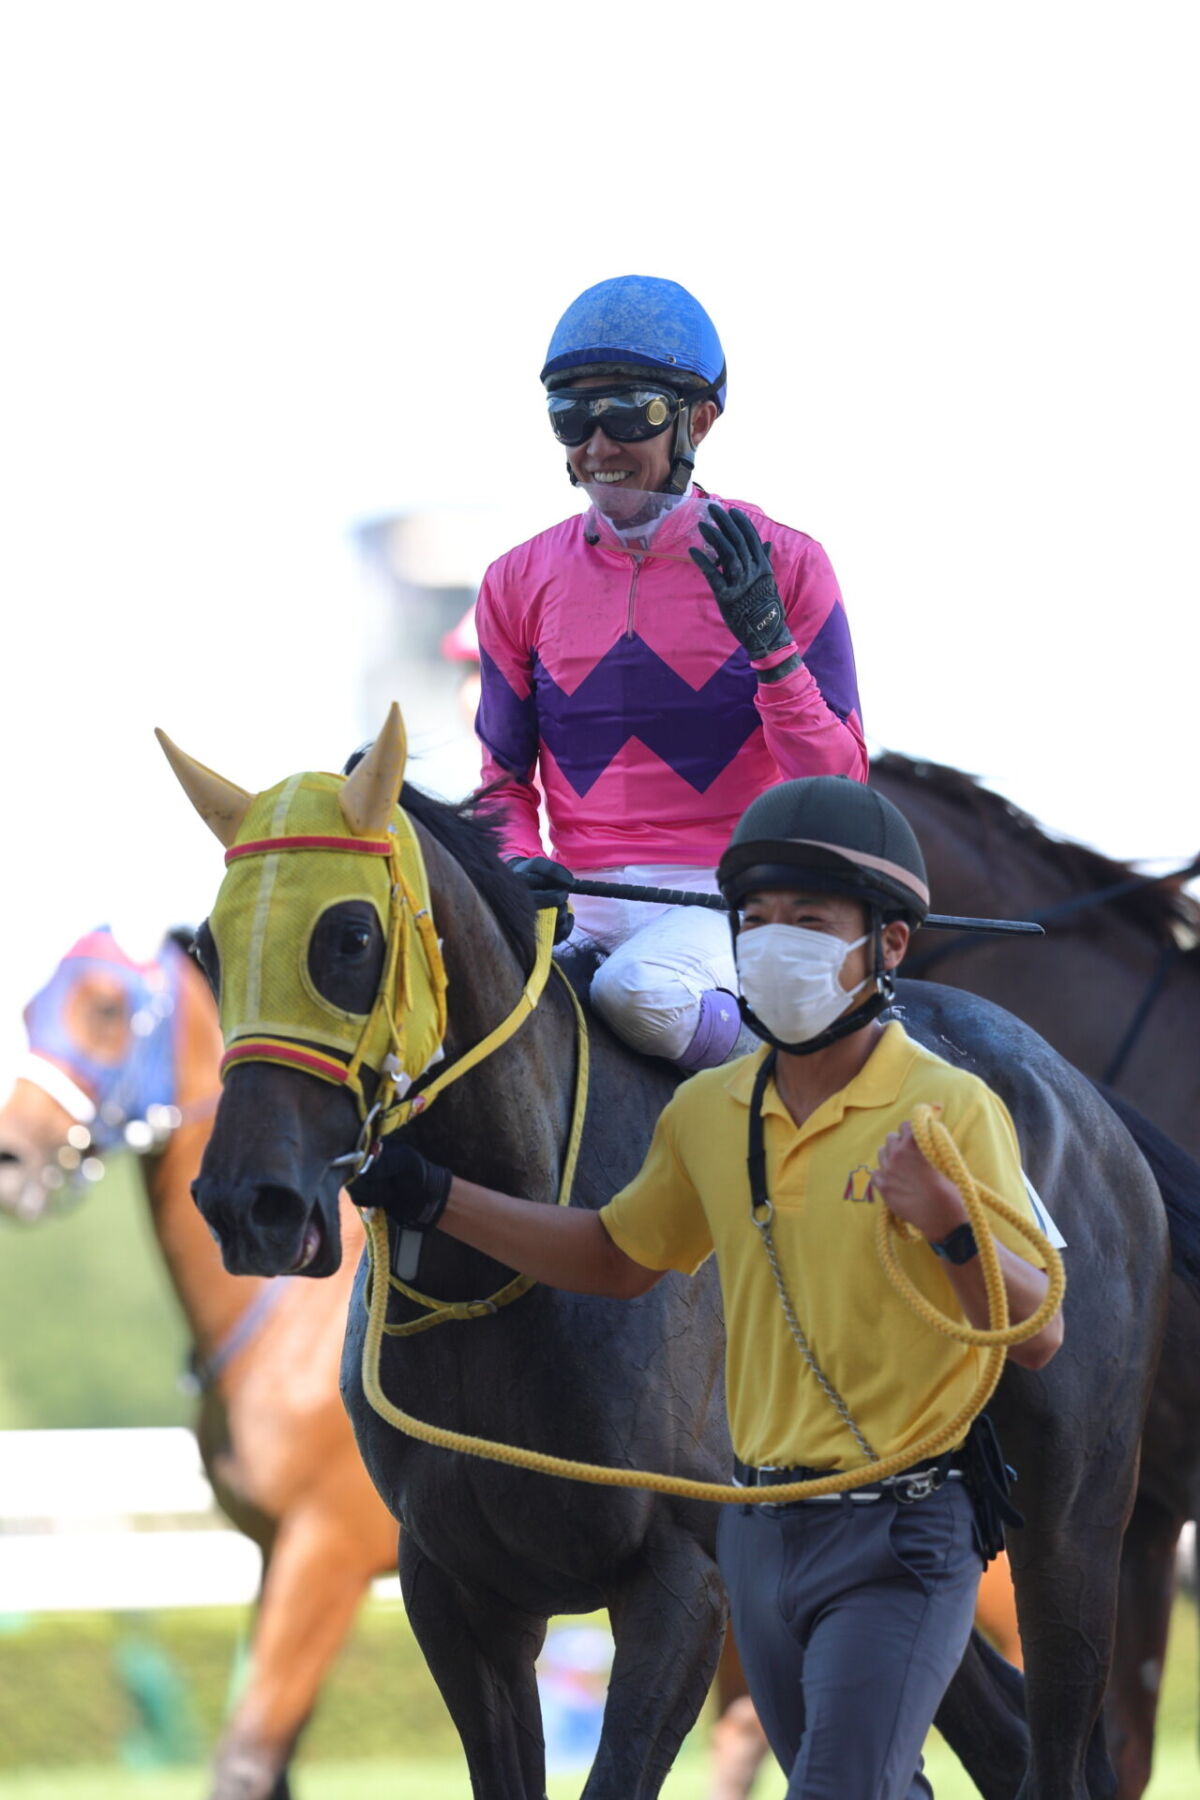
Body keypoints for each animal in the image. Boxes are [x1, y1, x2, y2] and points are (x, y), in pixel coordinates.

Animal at [0, 927, 401, 1800]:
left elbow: (246, 1757)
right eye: (30, 1009)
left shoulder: (330, 1550)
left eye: (107, 1008)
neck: (296, 1325)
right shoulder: (274, 1549)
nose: (10, 1157)